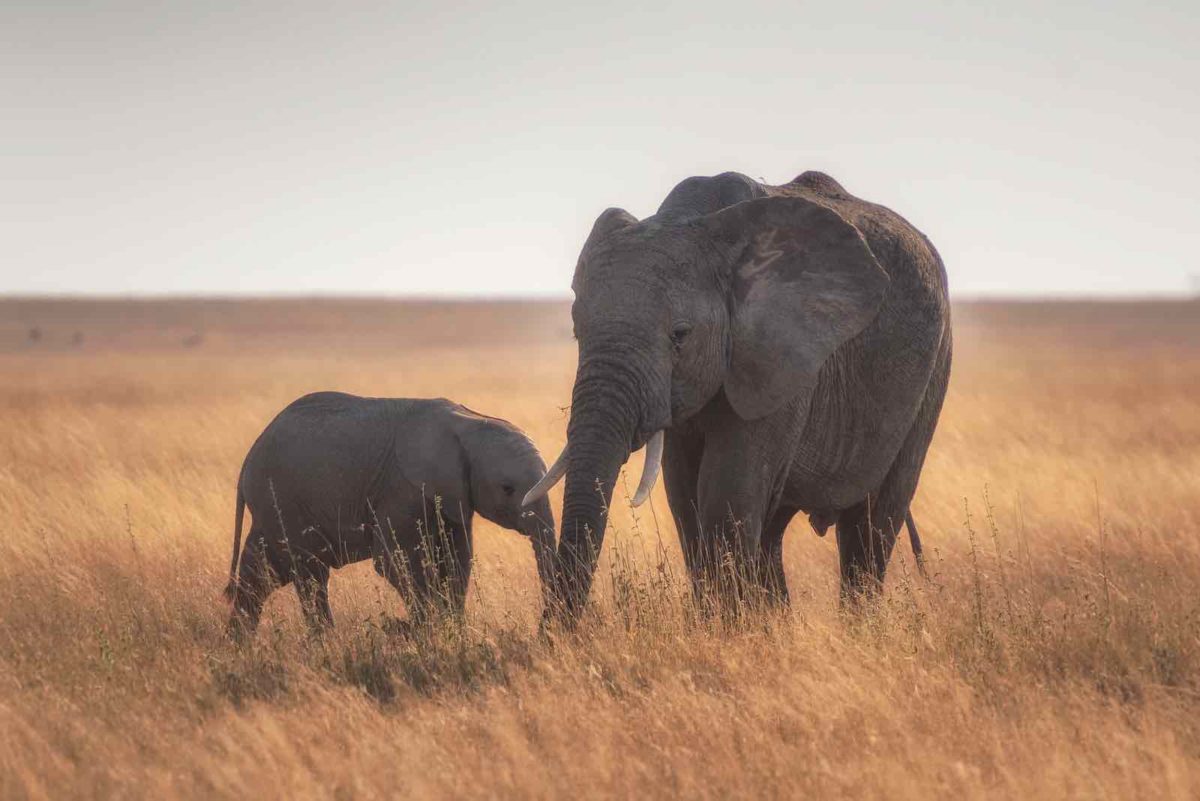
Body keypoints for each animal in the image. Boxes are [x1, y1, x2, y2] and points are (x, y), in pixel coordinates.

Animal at [223, 392, 556, 637]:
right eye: (507, 488)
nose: (544, 629)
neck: (469, 422)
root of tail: (248, 458)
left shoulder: (452, 497)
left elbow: (457, 560)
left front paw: (453, 633)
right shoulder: (401, 489)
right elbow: (396, 561)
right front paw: (429, 634)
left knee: (261, 572)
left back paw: (239, 645)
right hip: (282, 501)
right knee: (309, 574)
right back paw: (325, 643)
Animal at [524, 170, 951, 615]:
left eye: (680, 336)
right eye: (577, 331)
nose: (554, 630)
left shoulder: (781, 355)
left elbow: (725, 495)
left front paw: (729, 626)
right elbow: (685, 496)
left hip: (933, 369)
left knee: (871, 525)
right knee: (773, 531)